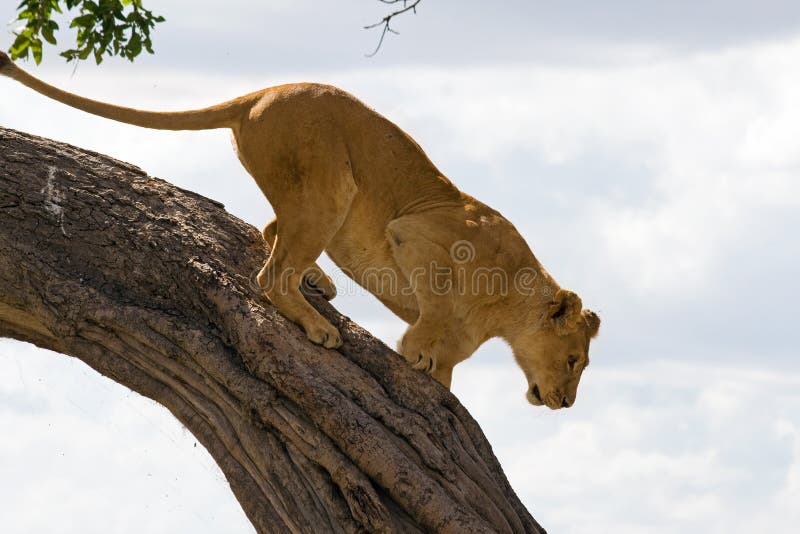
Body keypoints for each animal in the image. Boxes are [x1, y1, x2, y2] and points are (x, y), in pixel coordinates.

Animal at [0, 52, 600, 408]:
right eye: (573, 361)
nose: (566, 402)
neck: (510, 312)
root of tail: (260, 93)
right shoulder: (417, 232)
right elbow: (435, 316)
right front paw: (419, 352)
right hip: (330, 187)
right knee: (270, 274)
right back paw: (318, 326)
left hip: (314, 198)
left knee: (271, 233)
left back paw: (320, 283)